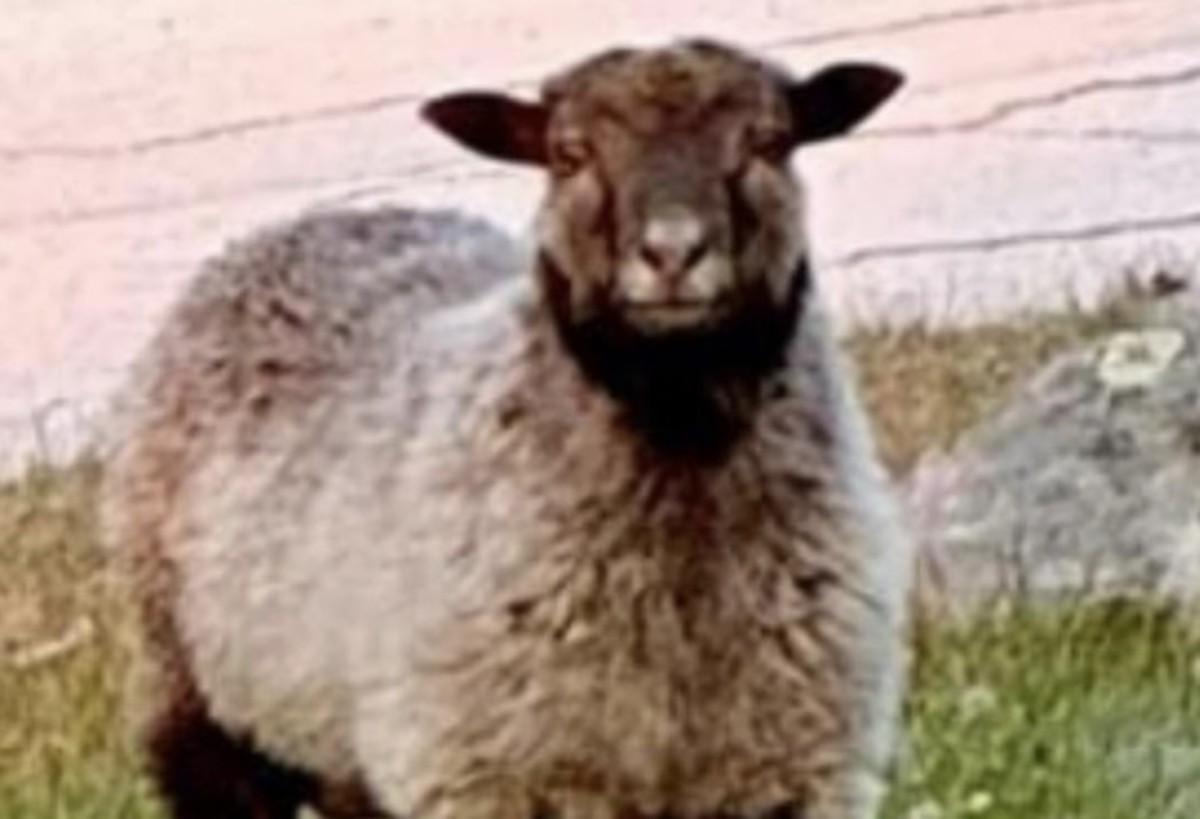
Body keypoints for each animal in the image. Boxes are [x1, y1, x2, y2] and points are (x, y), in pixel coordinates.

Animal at [103, 39, 912, 819]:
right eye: (568, 154)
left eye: (771, 141)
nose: (673, 253)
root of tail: (310, 221)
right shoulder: (489, 775)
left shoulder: (791, 773)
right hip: (202, 709)